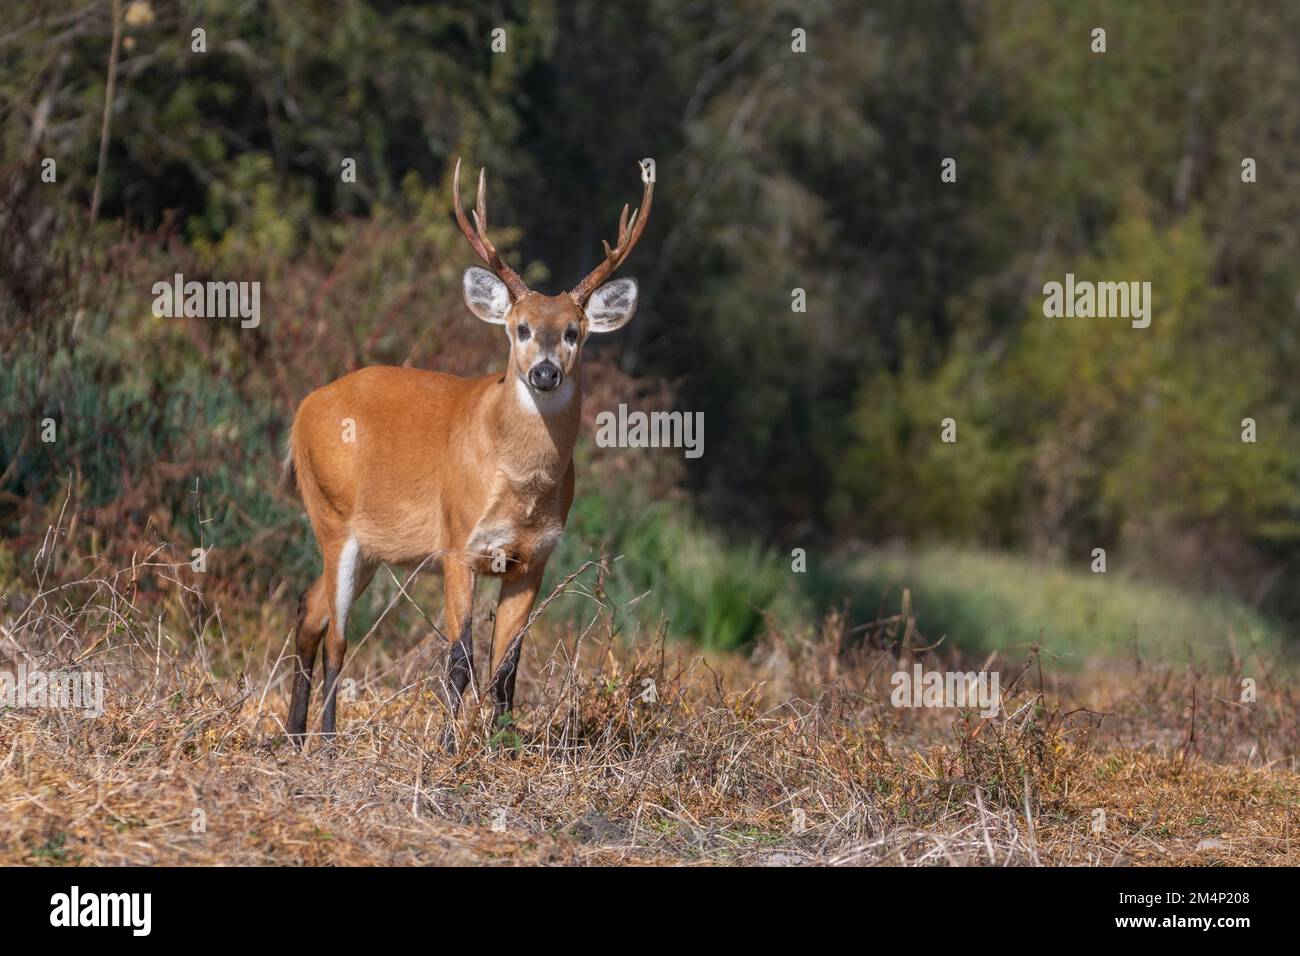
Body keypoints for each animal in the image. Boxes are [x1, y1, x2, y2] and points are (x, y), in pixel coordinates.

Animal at [280, 157, 653, 750]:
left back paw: (295, 736)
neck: (519, 483)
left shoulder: (533, 558)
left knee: (309, 610)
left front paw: (504, 745)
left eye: (574, 332)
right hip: (332, 517)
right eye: (520, 328)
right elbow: (459, 660)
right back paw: (329, 741)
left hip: (373, 547)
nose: (544, 373)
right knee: (338, 633)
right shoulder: (458, 543)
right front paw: (451, 748)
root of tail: (303, 409)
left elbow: (507, 668)